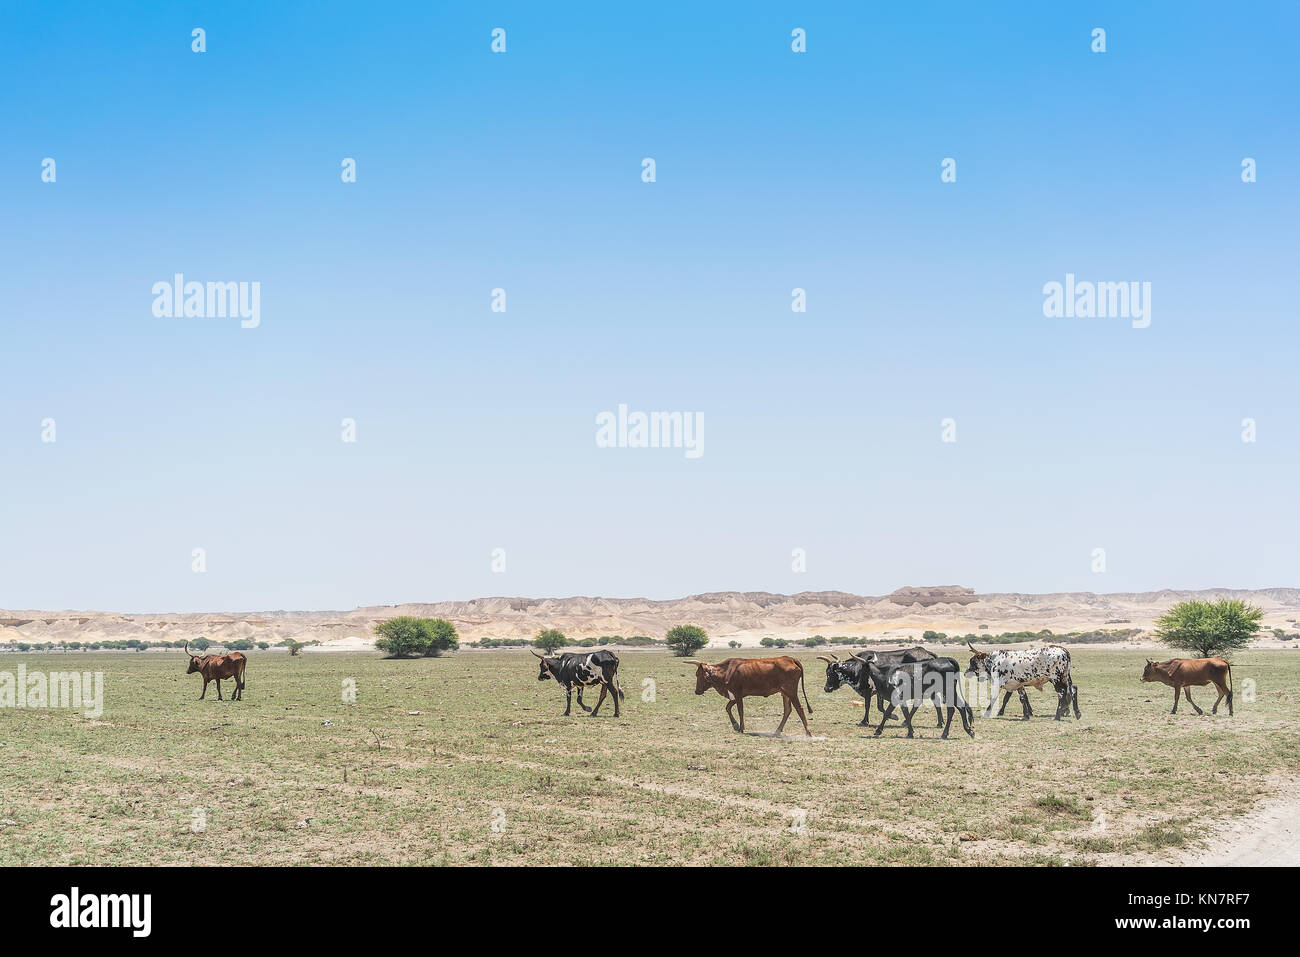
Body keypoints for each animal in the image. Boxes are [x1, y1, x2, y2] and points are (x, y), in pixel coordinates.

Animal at [817, 648, 945, 727]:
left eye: (829, 673)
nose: (826, 688)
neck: (857, 668)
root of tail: (927, 652)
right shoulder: (879, 692)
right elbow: (880, 707)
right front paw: (892, 716)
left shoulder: (868, 690)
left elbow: (868, 706)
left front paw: (864, 721)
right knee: (935, 701)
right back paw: (939, 722)